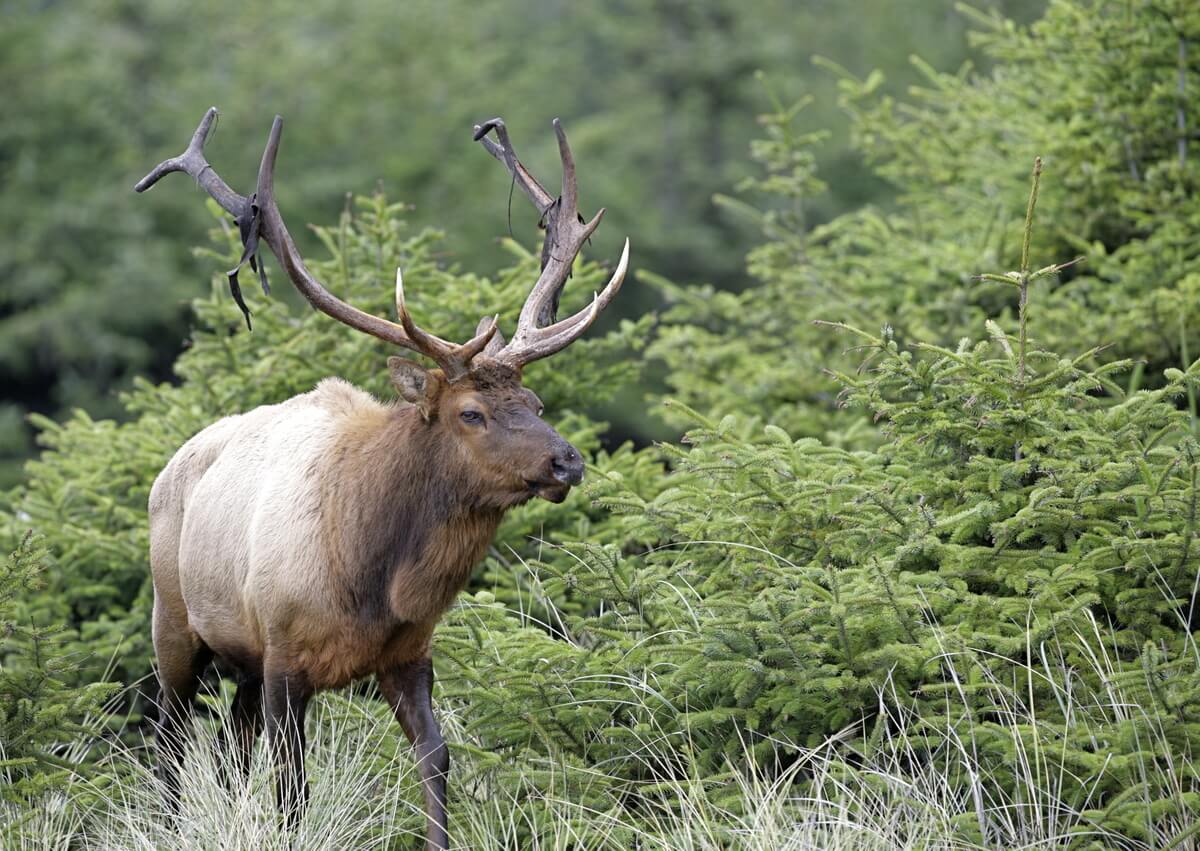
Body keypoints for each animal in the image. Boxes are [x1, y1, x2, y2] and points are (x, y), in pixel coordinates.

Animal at [134, 108, 629, 850]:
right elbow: (292, 789)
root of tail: (172, 462)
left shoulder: (408, 653)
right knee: (169, 741)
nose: (567, 461)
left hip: (239, 656)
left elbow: (436, 756)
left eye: (536, 403)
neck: (373, 581)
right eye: (471, 412)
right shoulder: (284, 652)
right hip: (176, 622)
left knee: (227, 747)